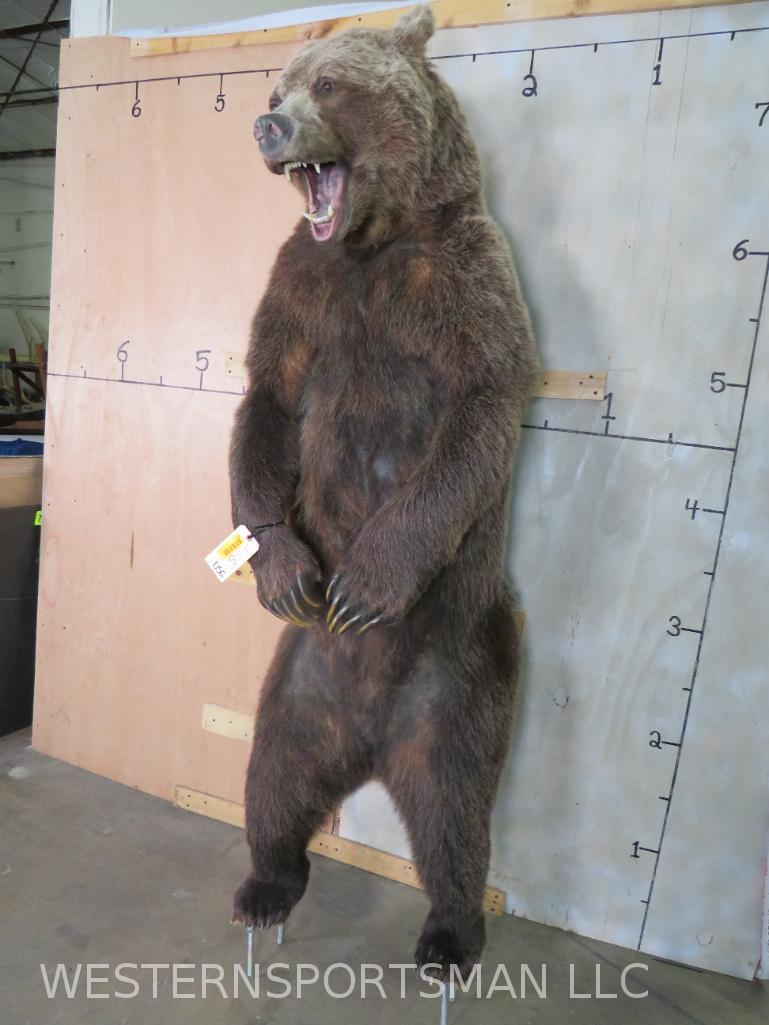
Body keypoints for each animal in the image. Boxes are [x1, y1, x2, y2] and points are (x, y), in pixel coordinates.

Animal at [229, 4, 538, 978]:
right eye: (276, 84)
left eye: (328, 84)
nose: (267, 125)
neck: (371, 241)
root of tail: (365, 747)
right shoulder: (302, 287)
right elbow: (268, 400)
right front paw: (283, 568)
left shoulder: (463, 283)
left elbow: (476, 417)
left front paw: (363, 585)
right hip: (294, 686)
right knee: (272, 778)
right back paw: (266, 884)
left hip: (456, 675)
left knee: (453, 812)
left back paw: (448, 934)